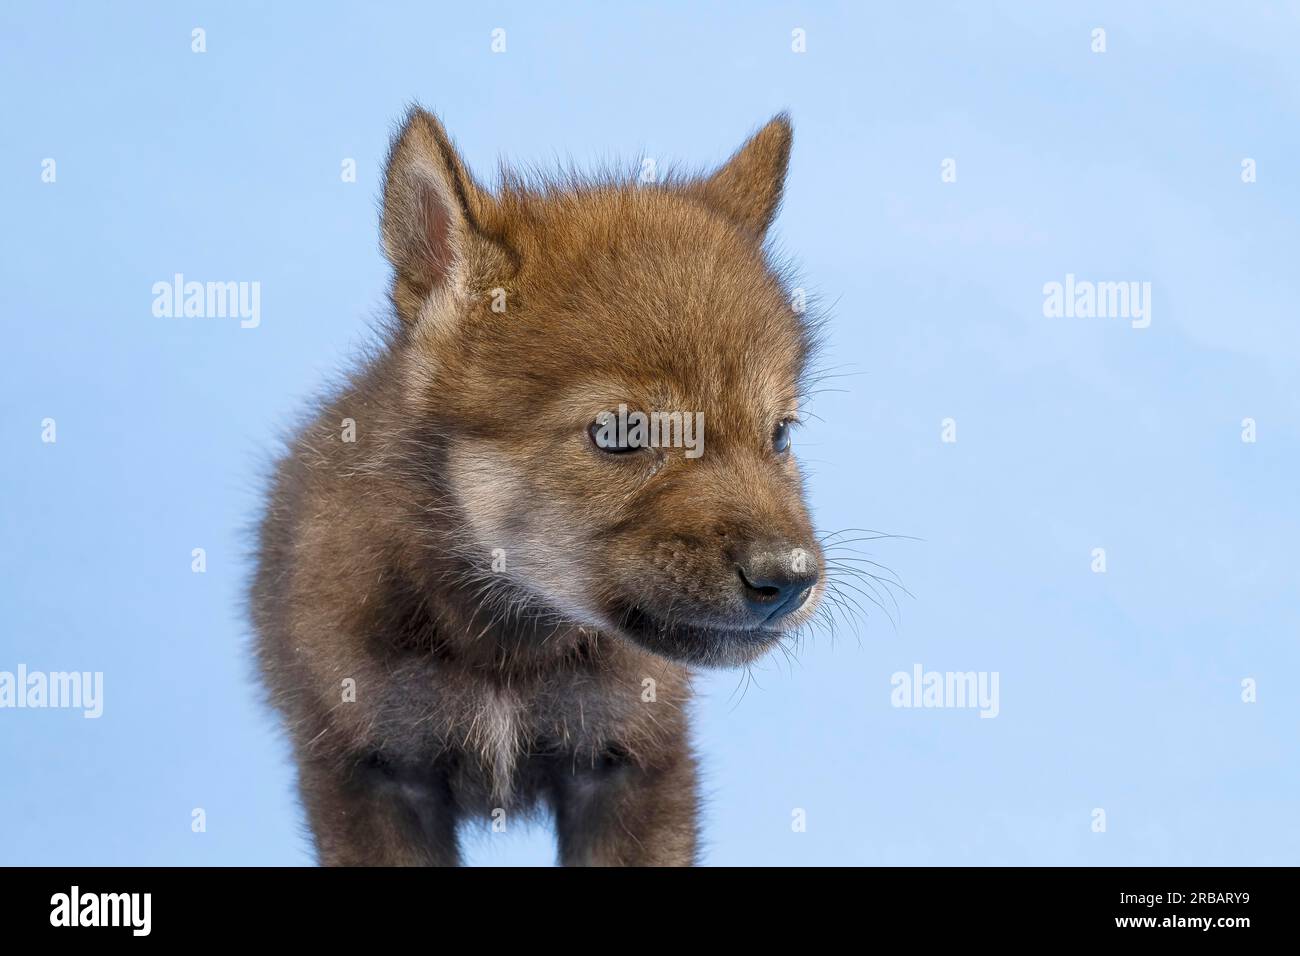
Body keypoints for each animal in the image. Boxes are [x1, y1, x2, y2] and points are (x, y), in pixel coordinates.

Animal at [250, 107, 826, 865]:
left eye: (781, 434)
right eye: (618, 433)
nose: (788, 578)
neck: (508, 647)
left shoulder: (634, 763)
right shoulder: (371, 773)